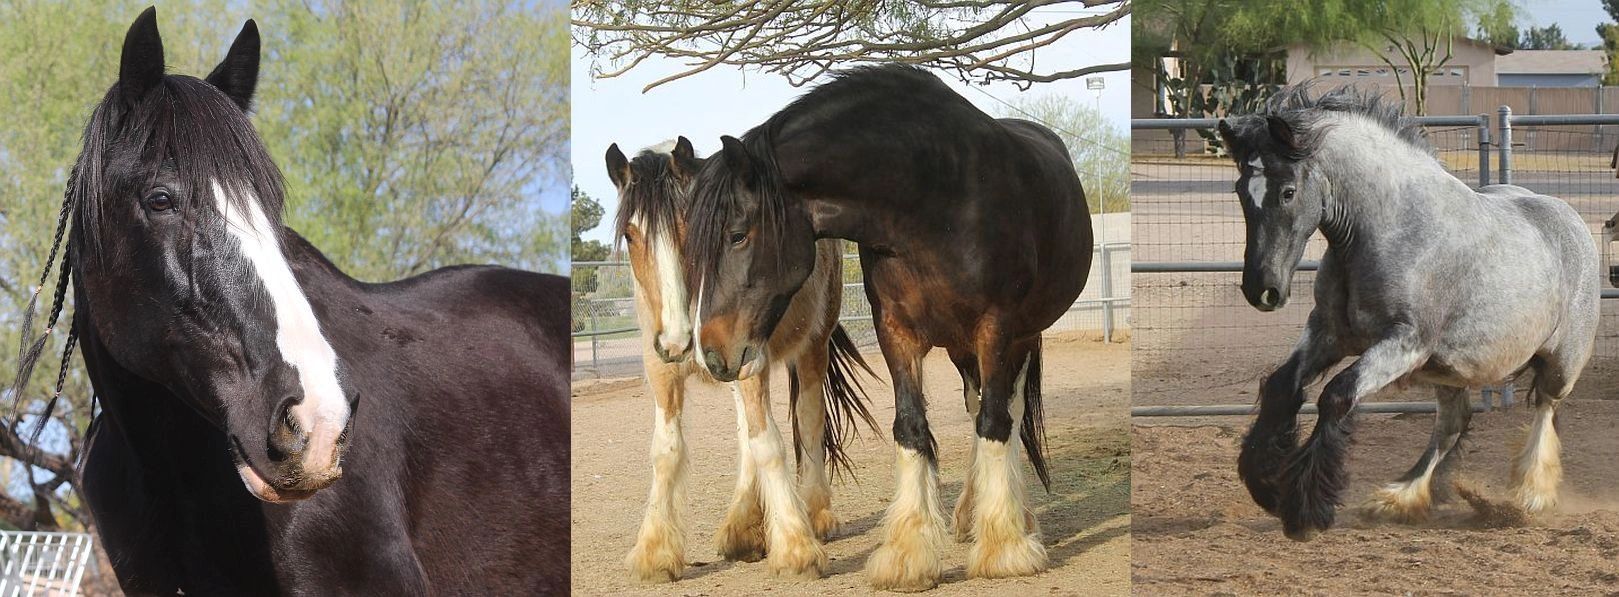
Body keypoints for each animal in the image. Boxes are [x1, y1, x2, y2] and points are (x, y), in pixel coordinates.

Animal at [603, 137, 876, 581]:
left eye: (692, 227)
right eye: (630, 234)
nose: (678, 340)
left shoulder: (750, 360)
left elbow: (769, 443)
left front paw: (797, 549)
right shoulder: (663, 368)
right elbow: (667, 450)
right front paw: (655, 552)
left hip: (814, 344)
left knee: (808, 418)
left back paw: (815, 513)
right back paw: (744, 529)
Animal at [682, 64, 1092, 591]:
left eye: (737, 236)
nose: (713, 354)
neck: (938, 200)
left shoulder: (997, 329)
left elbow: (996, 424)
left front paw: (1004, 548)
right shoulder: (896, 332)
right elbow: (912, 428)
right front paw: (909, 554)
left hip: (1020, 337)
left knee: (1008, 411)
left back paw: (1013, 519)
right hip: (960, 348)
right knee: (976, 402)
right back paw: (969, 515)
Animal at [1217, 85, 1599, 541]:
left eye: (1288, 191)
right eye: (1240, 190)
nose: (1263, 290)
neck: (1392, 229)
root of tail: (1572, 222)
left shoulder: (1405, 343)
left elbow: (1336, 396)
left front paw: (1304, 511)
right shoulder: (1329, 334)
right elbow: (1281, 387)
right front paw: (1265, 484)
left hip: (1559, 364)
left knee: (1545, 410)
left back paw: (1528, 496)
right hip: (1451, 373)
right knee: (1452, 425)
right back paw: (1399, 499)